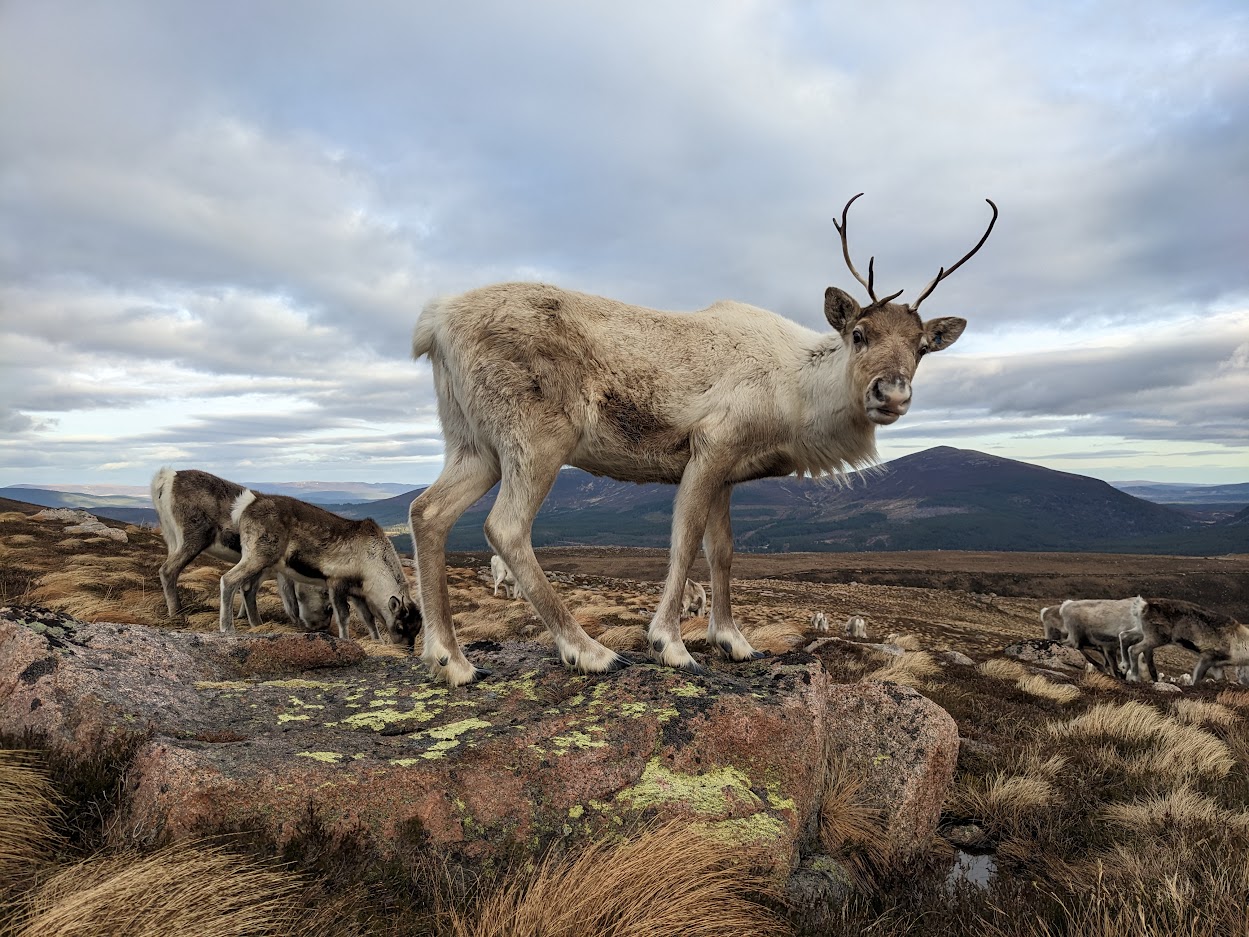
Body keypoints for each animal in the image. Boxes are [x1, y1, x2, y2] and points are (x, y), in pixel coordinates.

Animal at [408, 193, 997, 685]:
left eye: (921, 347)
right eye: (859, 334)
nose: (891, 393)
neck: (797, 392)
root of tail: (435, 323)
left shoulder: (731, 473)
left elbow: (723, 552)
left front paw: (734, 641)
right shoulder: (711, 446)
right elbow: (685, 540)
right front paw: (670, 644)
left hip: (474, 445)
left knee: (427, 511)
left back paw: (451, 661)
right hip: (537, 436)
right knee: (505, 526)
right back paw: (589, 651)